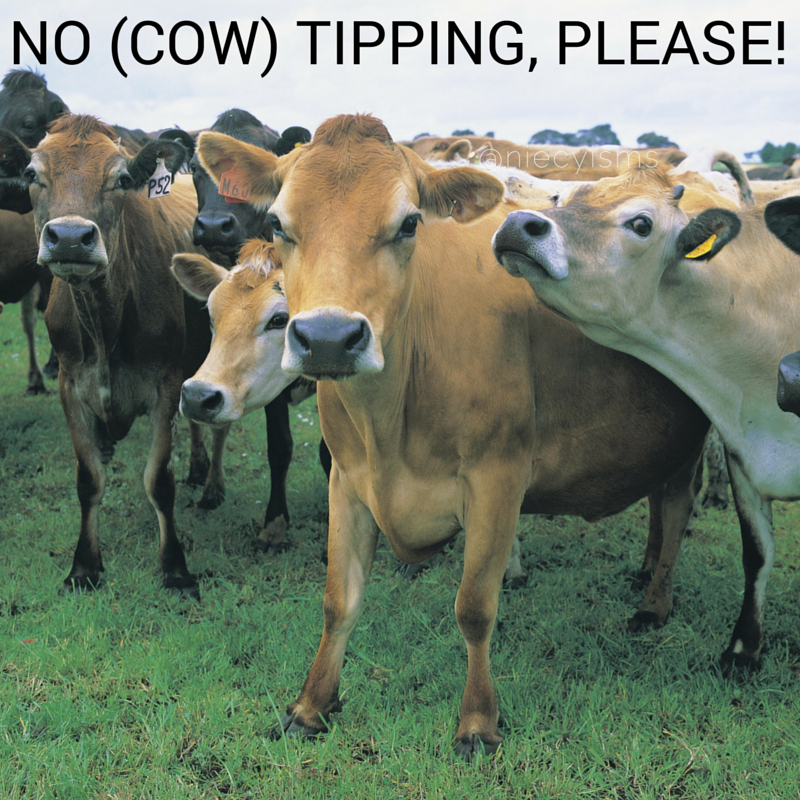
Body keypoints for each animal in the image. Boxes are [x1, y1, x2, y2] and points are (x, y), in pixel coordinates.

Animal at [0, 114, 207, 595]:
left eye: (123, 179)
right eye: (33, 175)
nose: (70, 238)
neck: (104, 326)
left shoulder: (166, 383)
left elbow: (158, 479)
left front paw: (175, 568)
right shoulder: (70, 385)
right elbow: (89, 479)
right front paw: (84, 567)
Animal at [195, 114, 716, 759]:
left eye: (409, 223)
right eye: (276, 223)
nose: (328, 338)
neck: (393, 415)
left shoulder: (498, 478)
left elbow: (474, 608)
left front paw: (477, 723)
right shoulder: (347, 480)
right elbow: (338, 601)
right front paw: (311, 705)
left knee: (677, 504)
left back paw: (655, 601)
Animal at [492, 161, 800, 677]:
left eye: (641, 224)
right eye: (561, 198)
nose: (518, 224)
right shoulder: (743, 456)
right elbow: (757, 554)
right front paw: (742, 650)